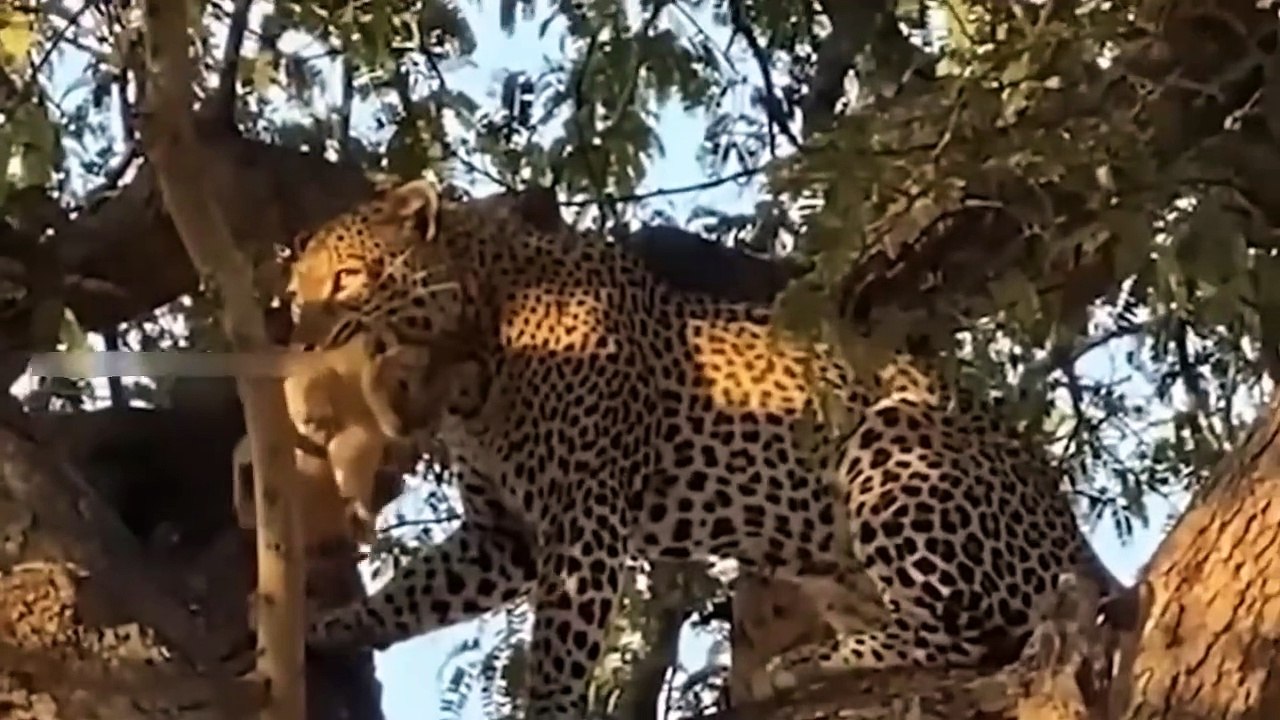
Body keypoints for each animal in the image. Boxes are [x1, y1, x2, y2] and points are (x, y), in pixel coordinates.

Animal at [283, 177, 1121, 719]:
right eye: (299, 293)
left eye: (349, 277)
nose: (303, 333)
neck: (462, 351)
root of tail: (1086, 556)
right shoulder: (503, 535)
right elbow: (414, 595)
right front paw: (327, 631)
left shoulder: (582, 523)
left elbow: (557, 653)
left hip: (894, 442)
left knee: (971, 643)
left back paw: (802, 667)